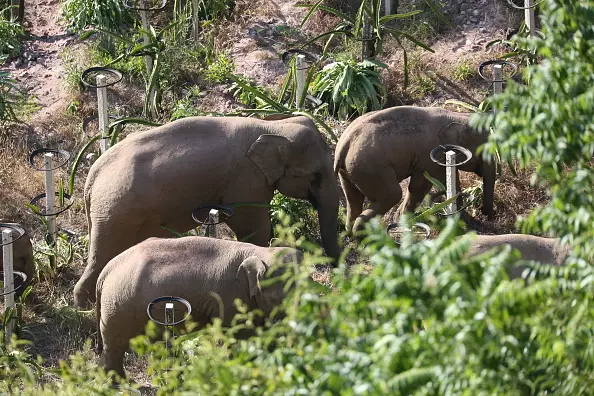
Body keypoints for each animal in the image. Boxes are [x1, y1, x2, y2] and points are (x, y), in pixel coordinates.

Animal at [97, 235, 300, 378]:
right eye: (278, 298)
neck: (259, 250)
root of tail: (107, 269)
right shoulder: (229, 296)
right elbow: (239, 334)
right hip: (119, 303)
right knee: (115, 342)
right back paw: (120, 383)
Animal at [332, 106, 494, 234]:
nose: (484, 213)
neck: (456, 116)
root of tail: (344, 144)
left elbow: (450, 182)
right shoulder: (429, 157)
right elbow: (420, 186)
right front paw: (402, 221)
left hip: (350, 171)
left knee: (353, 199)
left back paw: (351, 233)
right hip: (370, 168)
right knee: (393, 195)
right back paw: (365, 238)